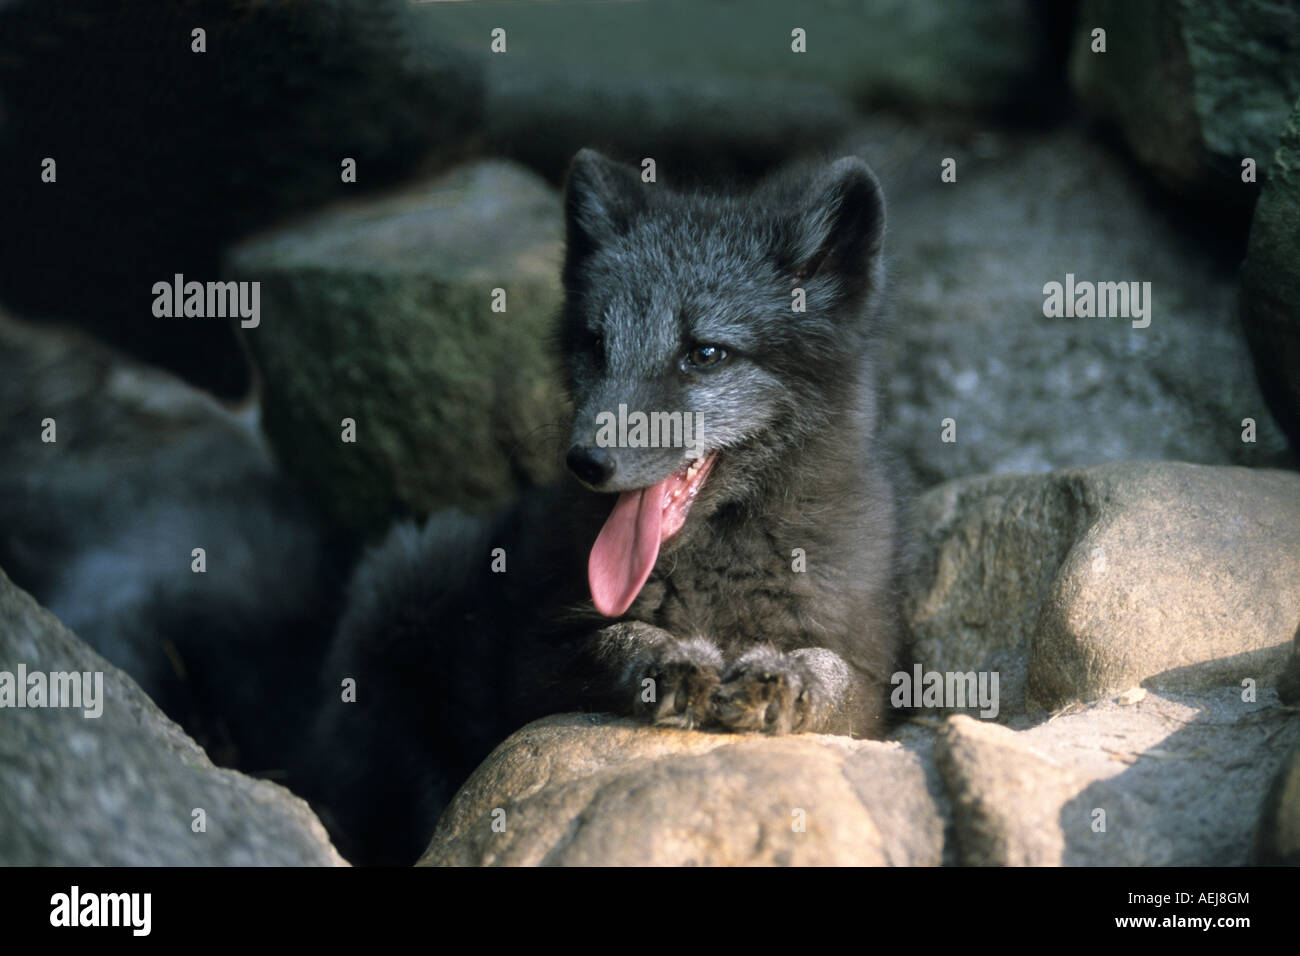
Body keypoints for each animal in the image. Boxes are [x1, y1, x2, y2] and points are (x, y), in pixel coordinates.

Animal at [301, 149, 908, 865]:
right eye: (595, 345)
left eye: (705, 354)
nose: (586, 462)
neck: (714, 575)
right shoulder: (529, 667)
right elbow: (613, 639)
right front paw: (668, 662)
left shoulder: (878, 675)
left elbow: (832, 670)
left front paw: (782, 678)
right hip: (410, 577)